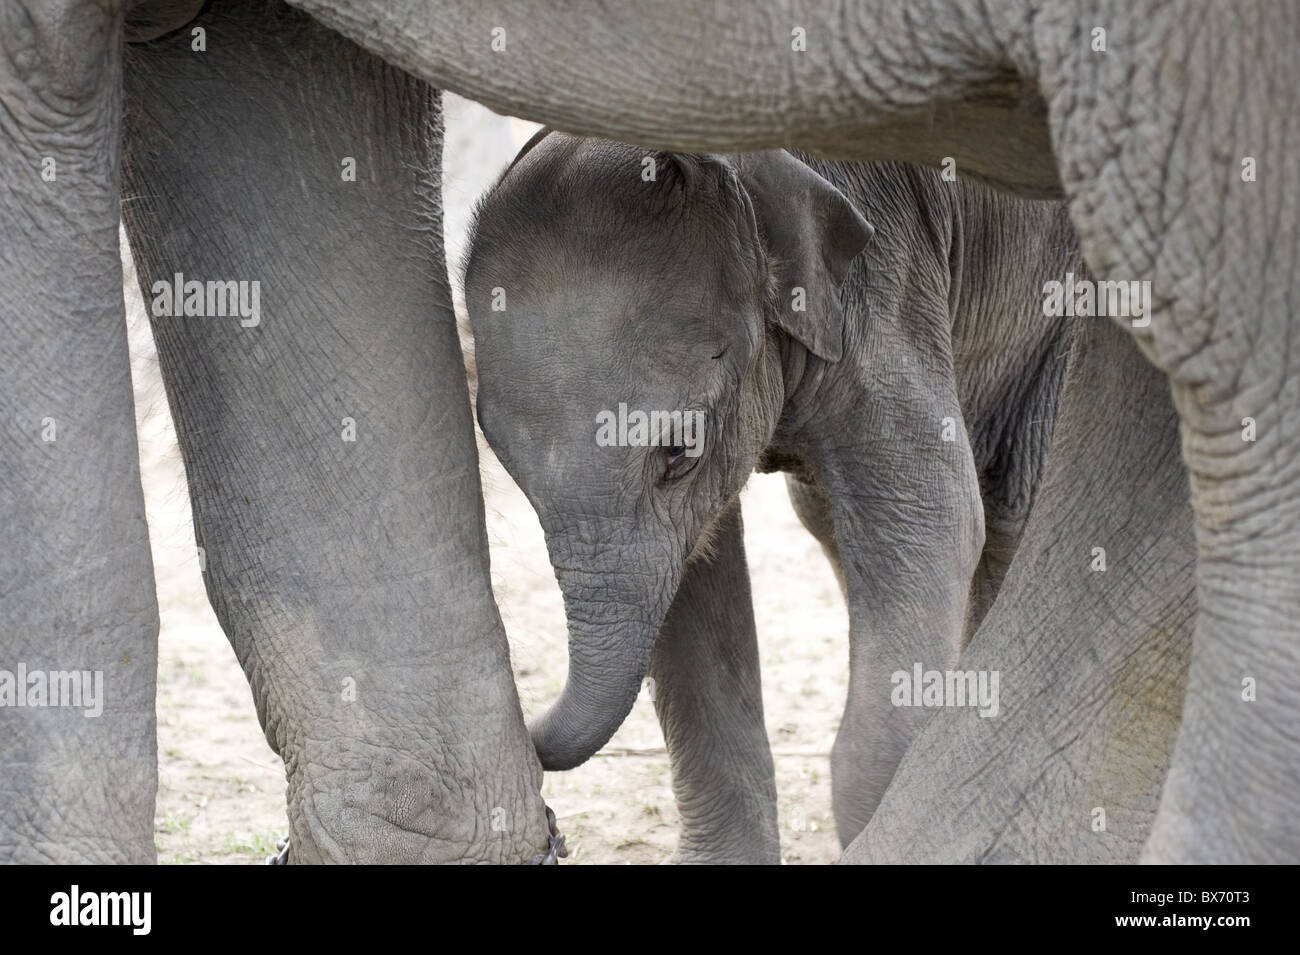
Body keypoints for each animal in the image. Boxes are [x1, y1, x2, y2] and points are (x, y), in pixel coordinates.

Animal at [463, 131, 1083, 856]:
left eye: (678, 452)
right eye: (502, 457)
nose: (555, 832)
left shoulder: (886, 284)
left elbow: (932, 515)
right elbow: (695, 575)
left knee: (1017, 507)